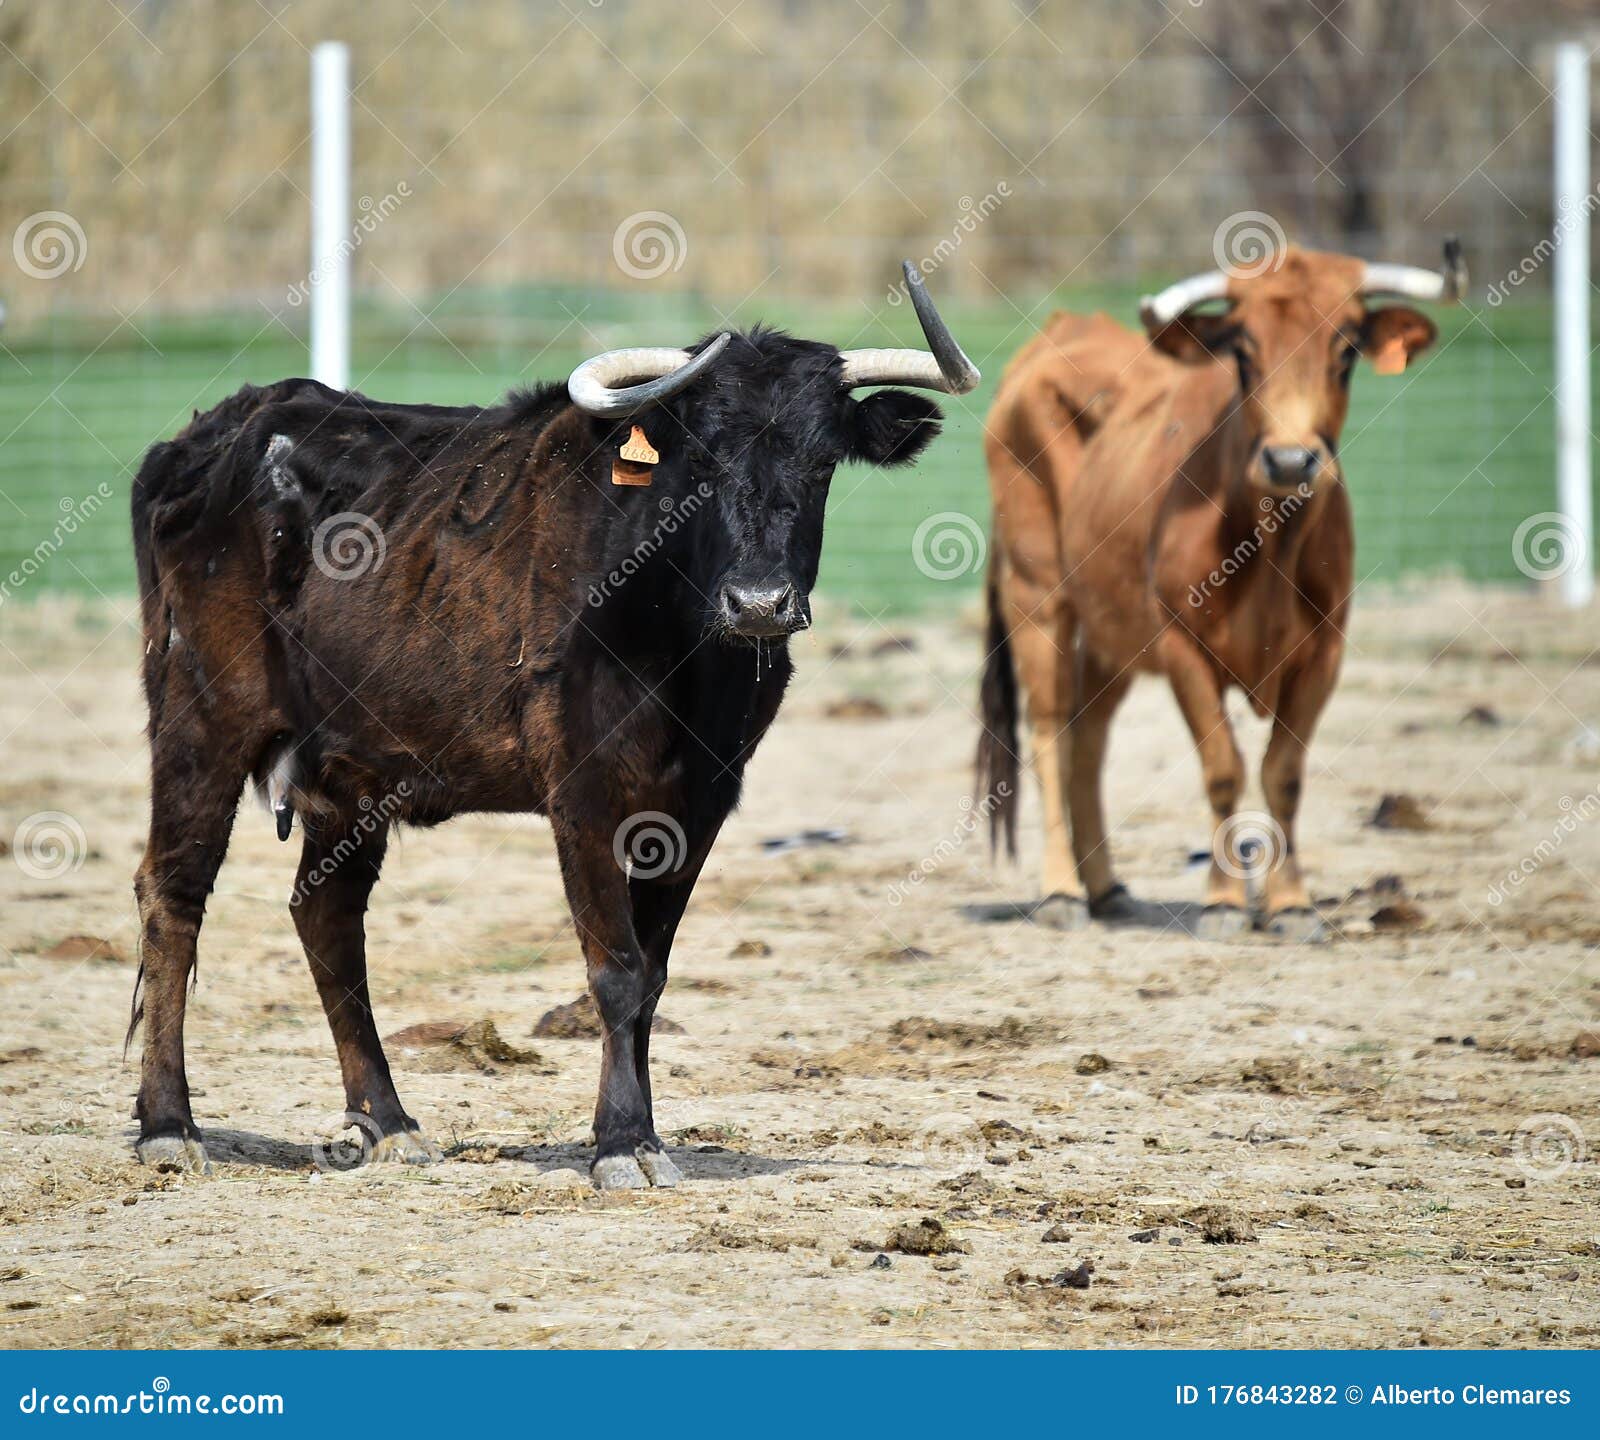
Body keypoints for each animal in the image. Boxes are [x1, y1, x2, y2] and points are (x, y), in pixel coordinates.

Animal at [127, 264, 978, 1187]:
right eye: (702, 461)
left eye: (822, 460)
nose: (759, 603)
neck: (676, 637)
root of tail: (208, 437)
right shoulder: (583, 790)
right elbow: (615, 969)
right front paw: (622, 1144)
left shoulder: (701, 800)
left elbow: (653, 974)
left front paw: (644, 1135)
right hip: (201, 721)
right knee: (173, 895)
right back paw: (170, 1125)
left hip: (353, 771)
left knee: (327, 917)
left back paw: (388, 1121)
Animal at [975, 240, 1463, 941]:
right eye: (1242, 350)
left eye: (1345, 350)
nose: (1289, 460)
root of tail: (1059, 332)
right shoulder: (1183, 646)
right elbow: (1224, 767)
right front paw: (1224, 903)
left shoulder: (1325, 652)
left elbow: (1282, 774)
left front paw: (1291, 904)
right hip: (1037, 598)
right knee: (1049, 733)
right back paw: (1061, 890)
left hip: (1112, 632)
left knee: (1088, 739)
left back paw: (1106, 888)